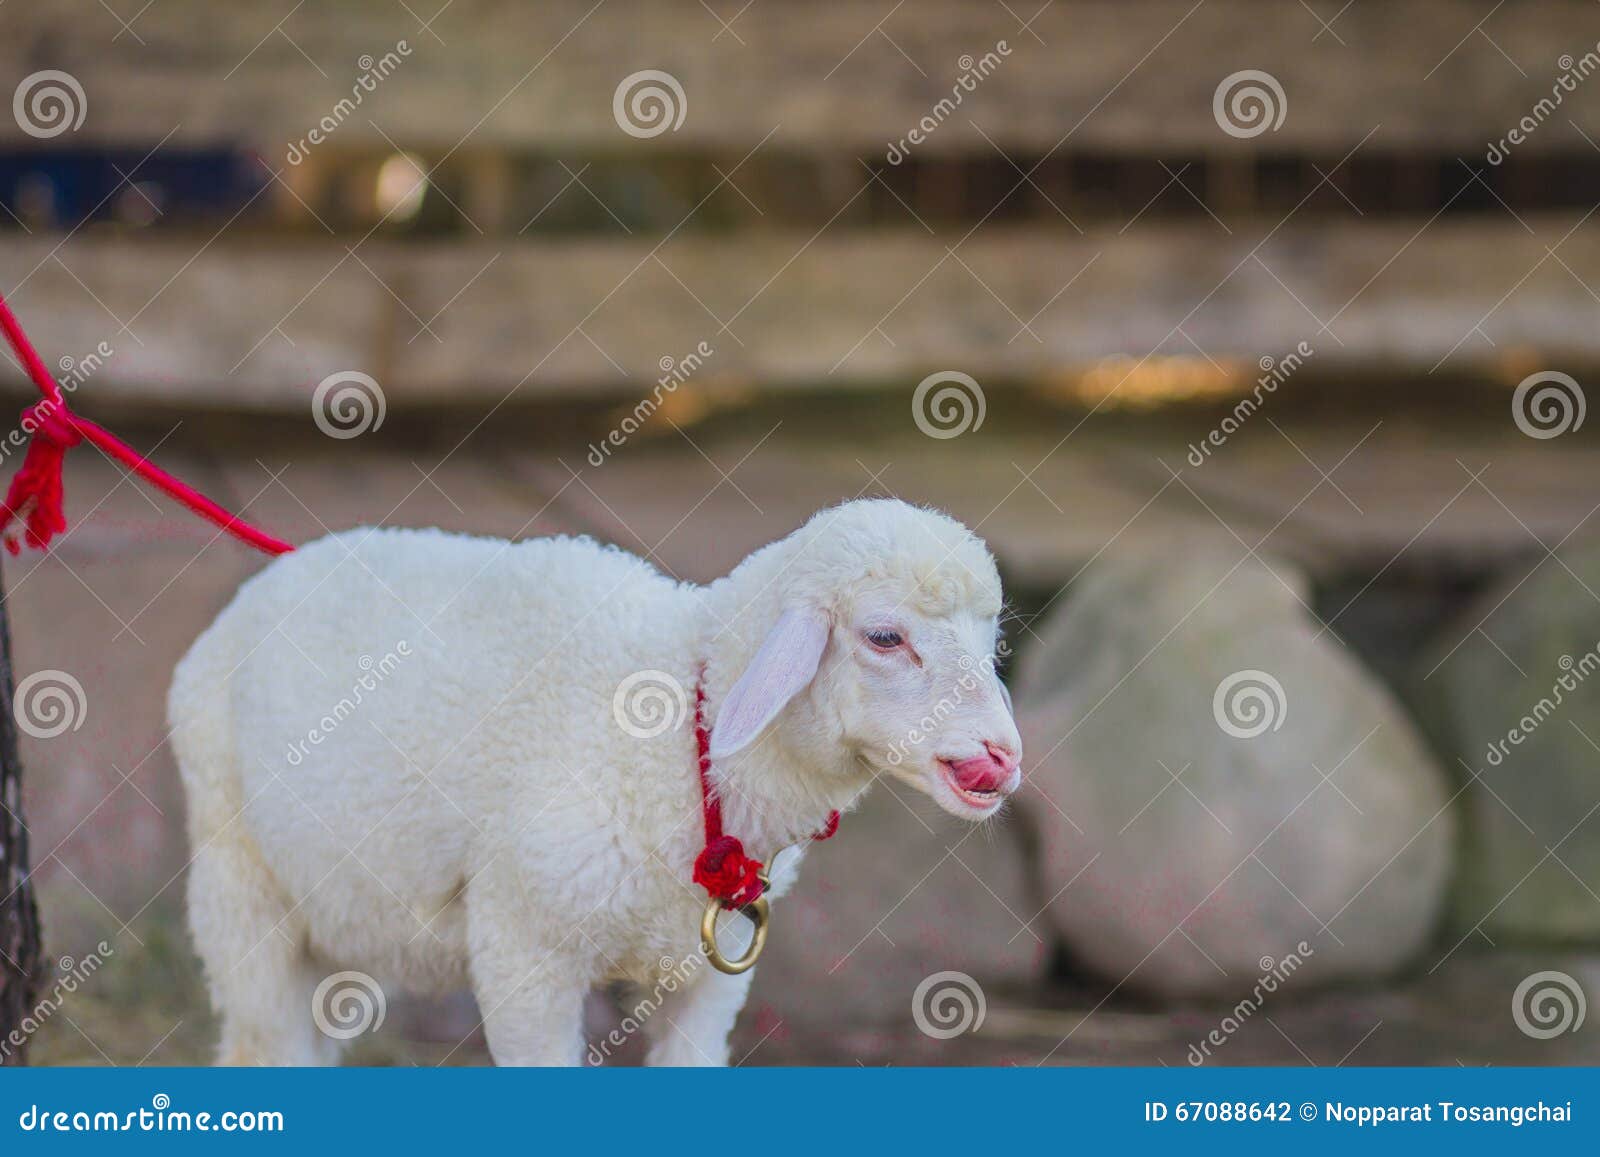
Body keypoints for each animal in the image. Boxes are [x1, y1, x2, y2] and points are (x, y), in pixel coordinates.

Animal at [167, 498, 1022, 1066]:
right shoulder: (523, 949)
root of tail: (275, 573)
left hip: (337, 910)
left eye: (990, 638)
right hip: (237, 878)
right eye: (884, 636)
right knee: (263, 1042)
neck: (684, 740)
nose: (1004, 756)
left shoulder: (709, 976)